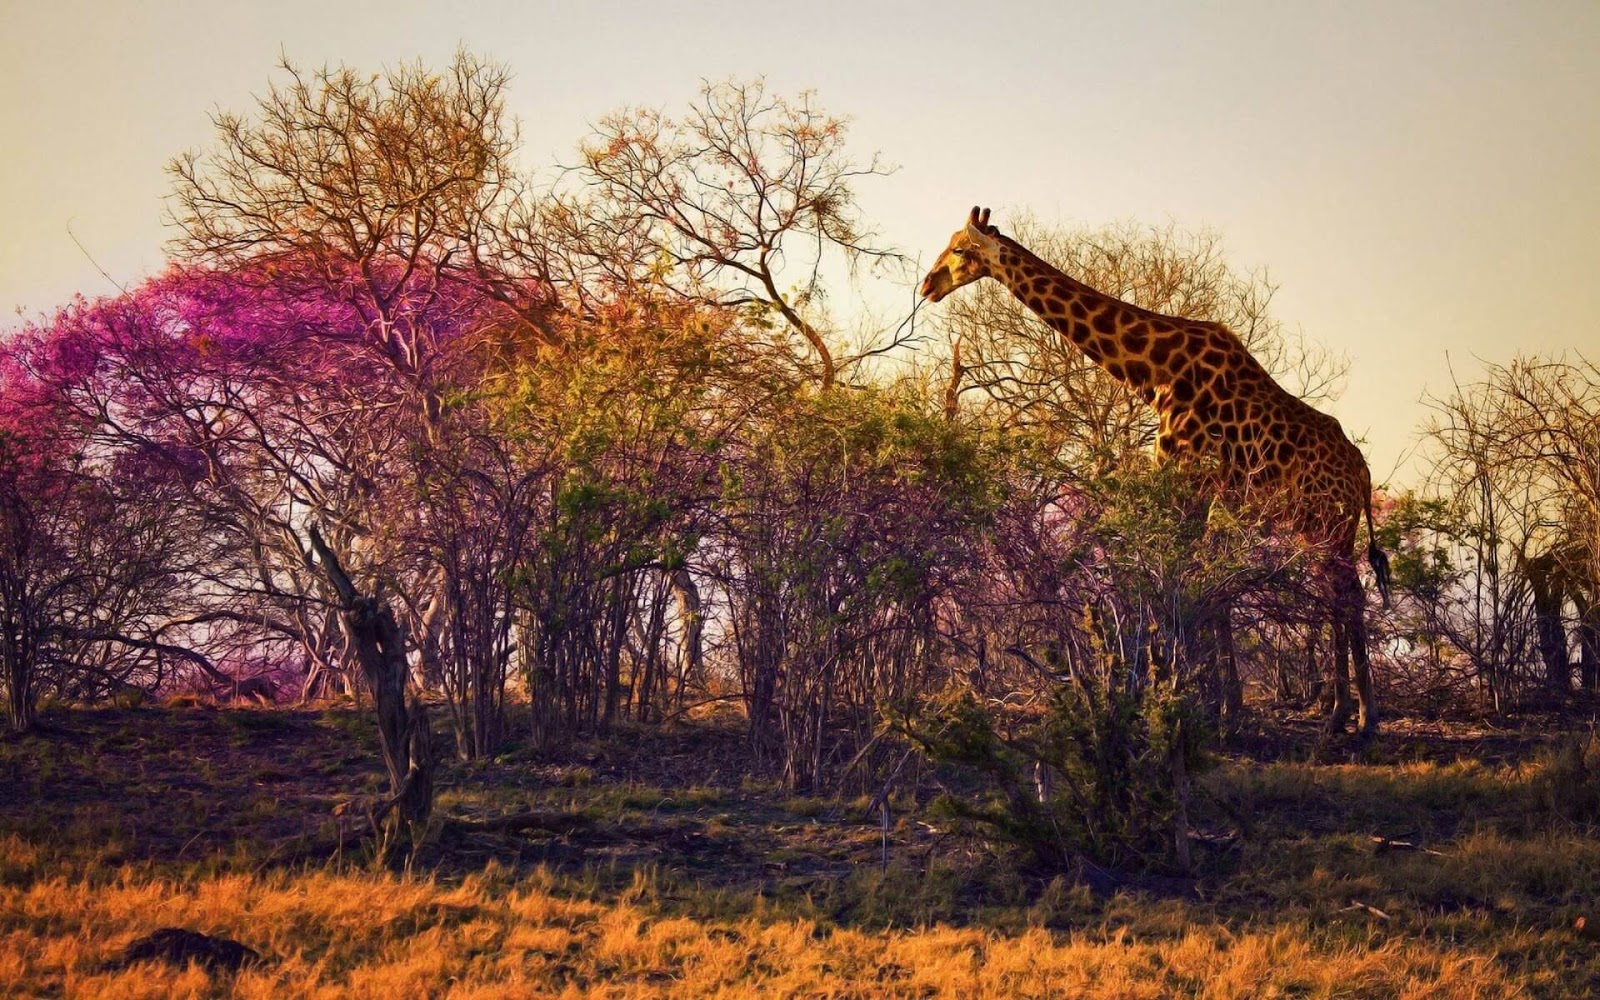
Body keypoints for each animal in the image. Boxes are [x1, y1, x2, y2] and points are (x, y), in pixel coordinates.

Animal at [922, 207, 1390, 734]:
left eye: (960, 248)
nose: (927, 285)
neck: (1157, 371)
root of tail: (1363, 474)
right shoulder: (1206, 495)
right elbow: (1209, 588)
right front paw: (1218, 704)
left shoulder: (1181, 477)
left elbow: (1183, 582)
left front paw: (1188, 700)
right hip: (1321, 529)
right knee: (1339, 595)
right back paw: (1344, 713)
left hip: (1330, 526)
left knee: (1346, 596)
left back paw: (1357, 717)